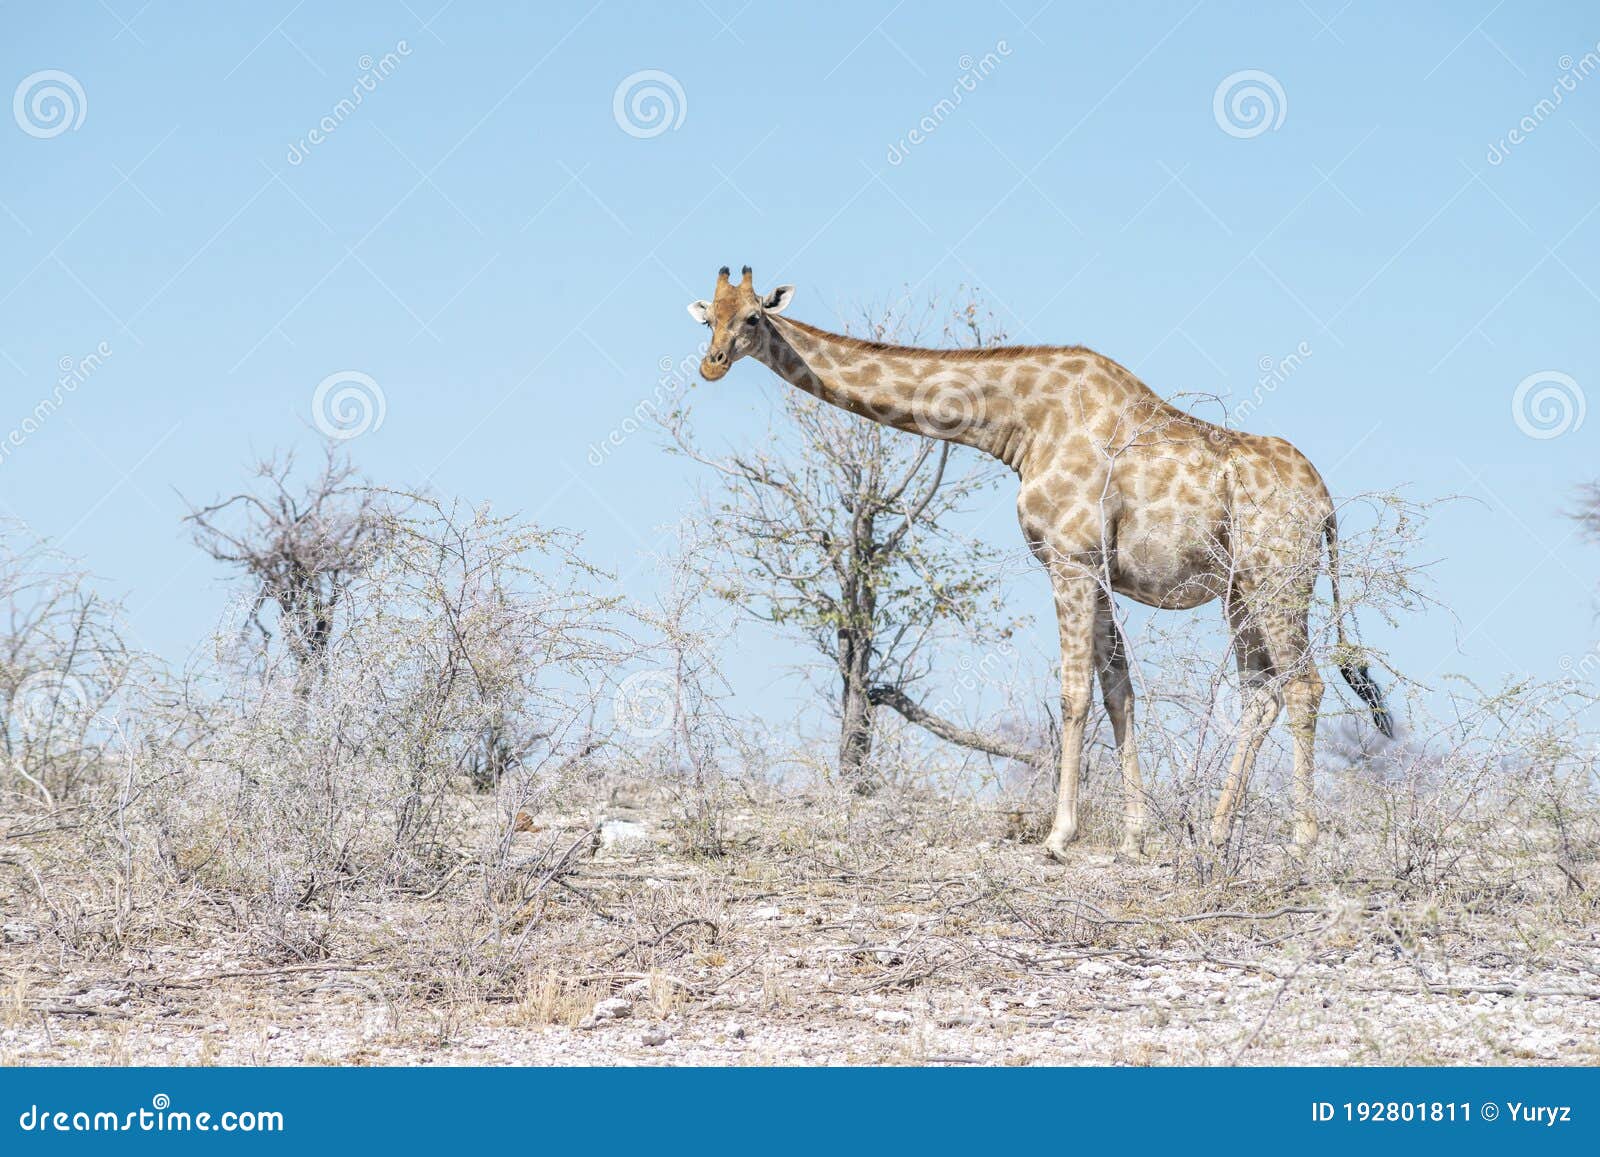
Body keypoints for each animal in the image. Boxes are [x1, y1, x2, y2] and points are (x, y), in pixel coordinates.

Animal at [688, 266, 1393, 861]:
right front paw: (1134, 838)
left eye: (752, 316)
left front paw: (1058, 836)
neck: (1019, 422)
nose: (711, 364)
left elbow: (1074, 691)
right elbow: (1119, 691)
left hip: (1280, 577)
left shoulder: (1069, 559)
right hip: (1241, 589)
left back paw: (1302, 841)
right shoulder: (1095, 568)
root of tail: (1326, 505)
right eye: (707, 318)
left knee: (1303, 685)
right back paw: (1218, 836)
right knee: (1259, 694)